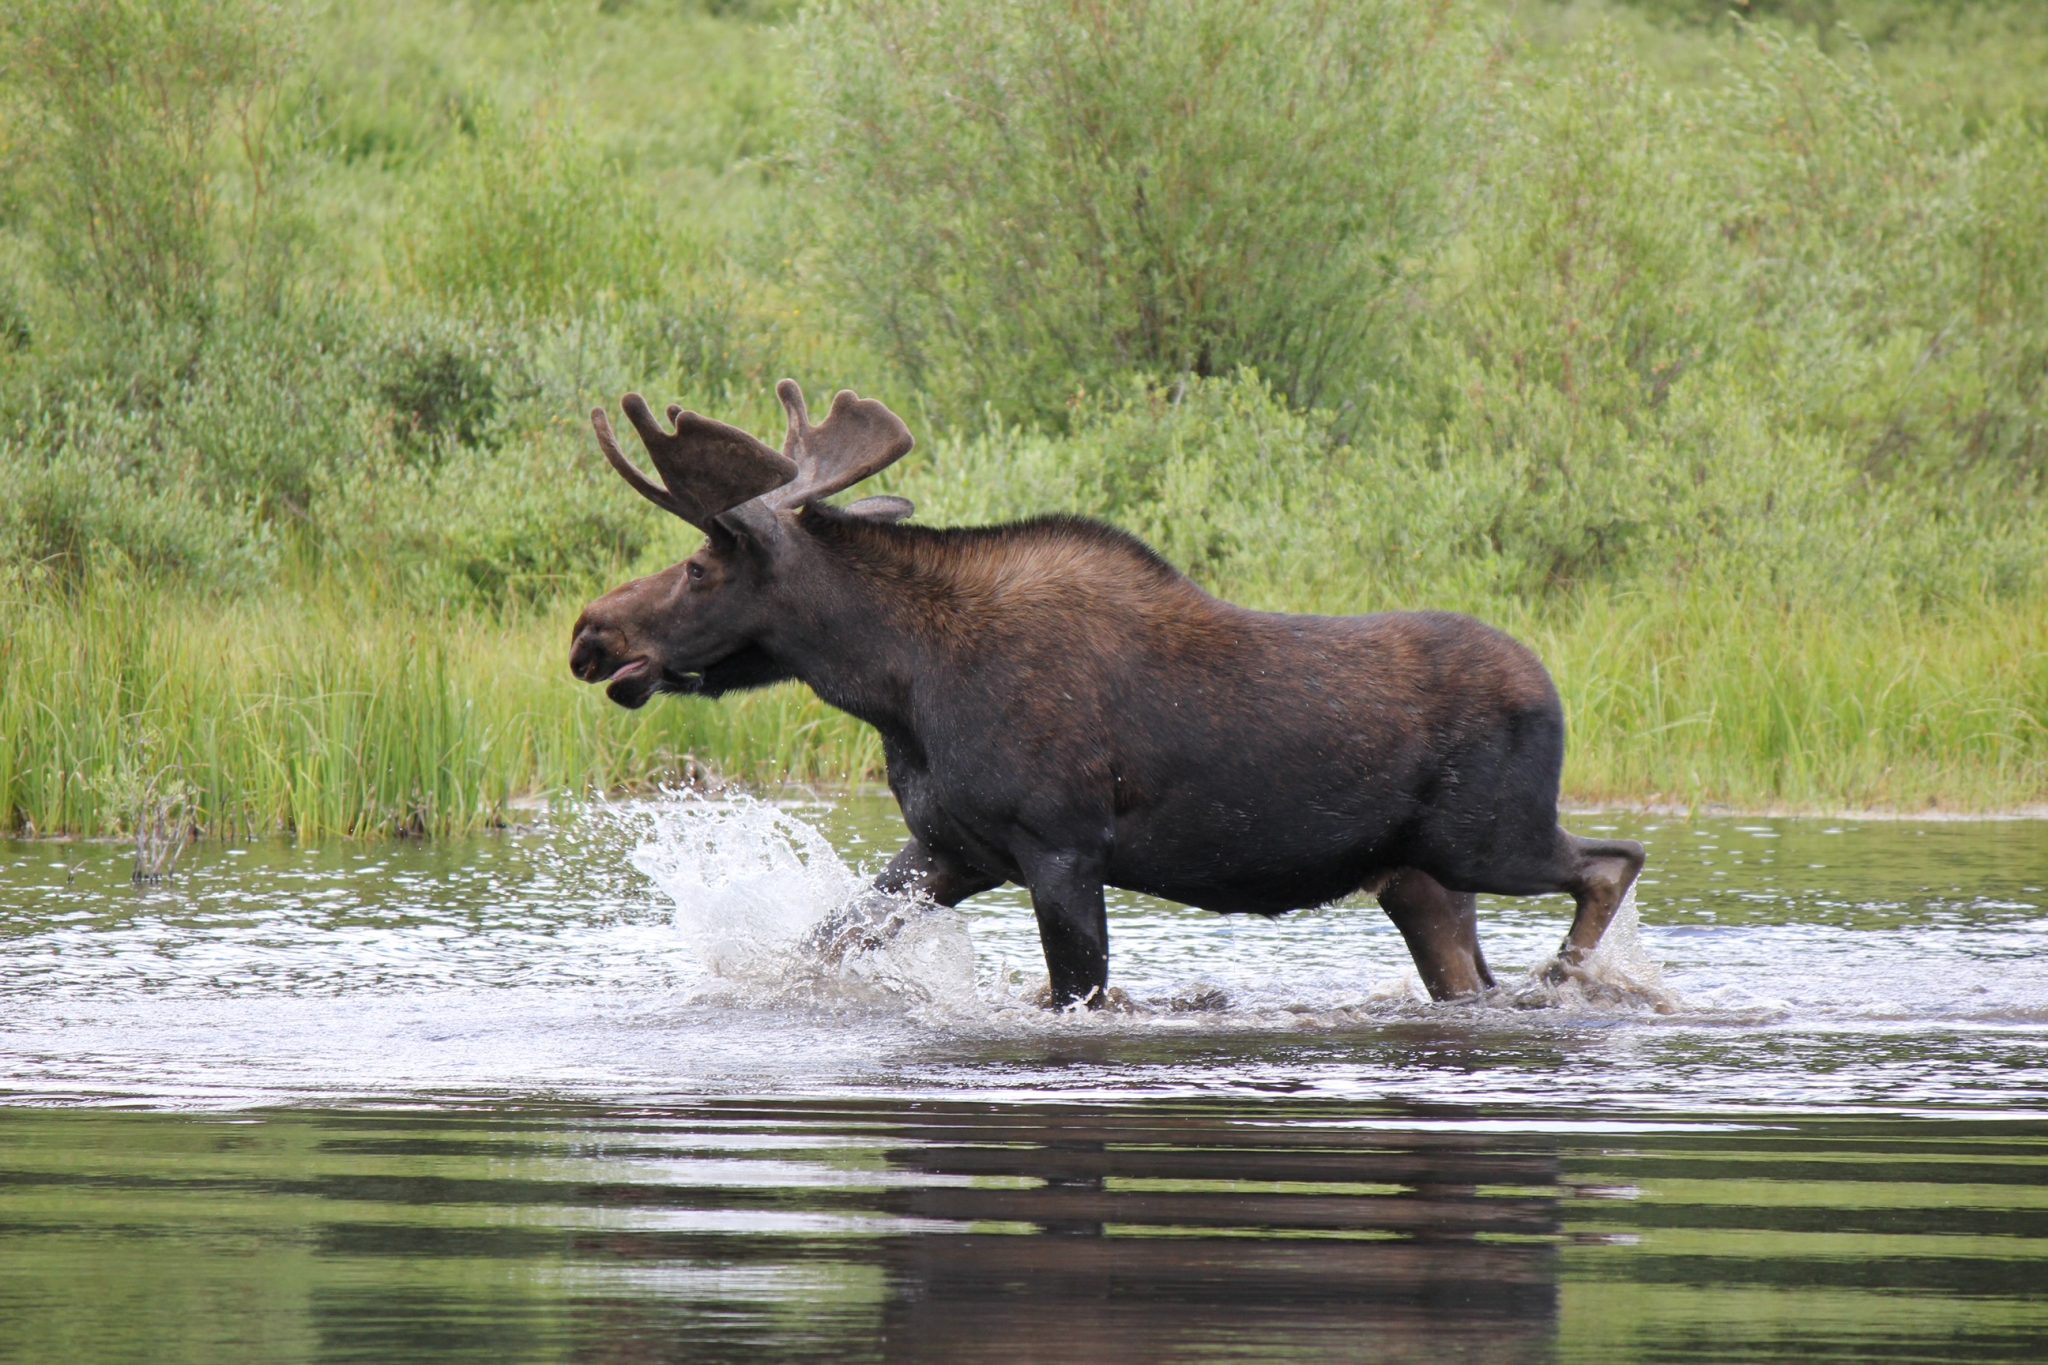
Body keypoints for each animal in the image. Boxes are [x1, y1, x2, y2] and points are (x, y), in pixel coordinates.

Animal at [569, 381, 1646, 1007]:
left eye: (700, 565)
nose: (590, 632)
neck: (896, 686)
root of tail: (1552, 691)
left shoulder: (1061, 847)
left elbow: (1077, 991)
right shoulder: (952, 847)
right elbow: (814, 948)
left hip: (1488, 835)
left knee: (1611, 859)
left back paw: (1573, 972)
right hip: (1418, 878)